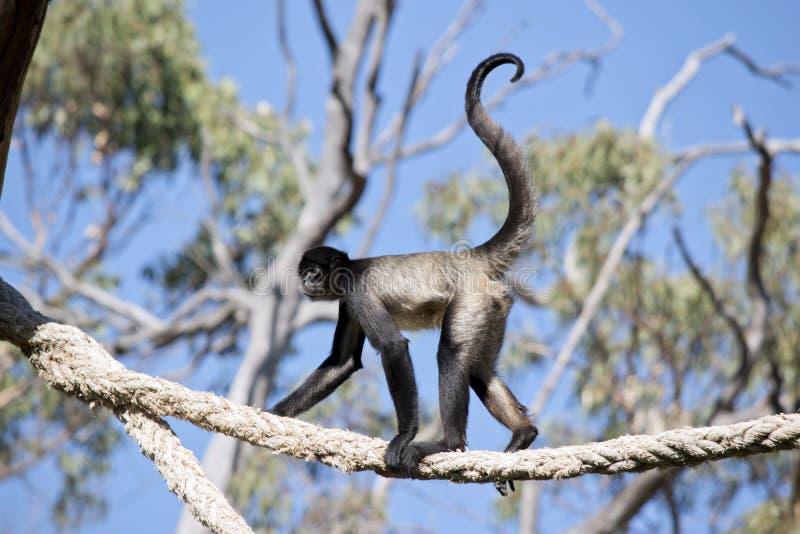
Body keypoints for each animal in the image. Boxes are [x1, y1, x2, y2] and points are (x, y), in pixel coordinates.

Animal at [271, 53, 537, 495]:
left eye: (312, 271)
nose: (306, 282)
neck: (351, 266)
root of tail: (469, 260)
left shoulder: (356, 289)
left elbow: (394, 347)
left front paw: (404, 436)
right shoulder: (349, 302)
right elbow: (343, 363)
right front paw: (273, 413)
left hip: (473, 300)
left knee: (452, 353)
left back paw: (447, 442)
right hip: (494, 307)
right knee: (480, 370)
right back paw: (522, 436)